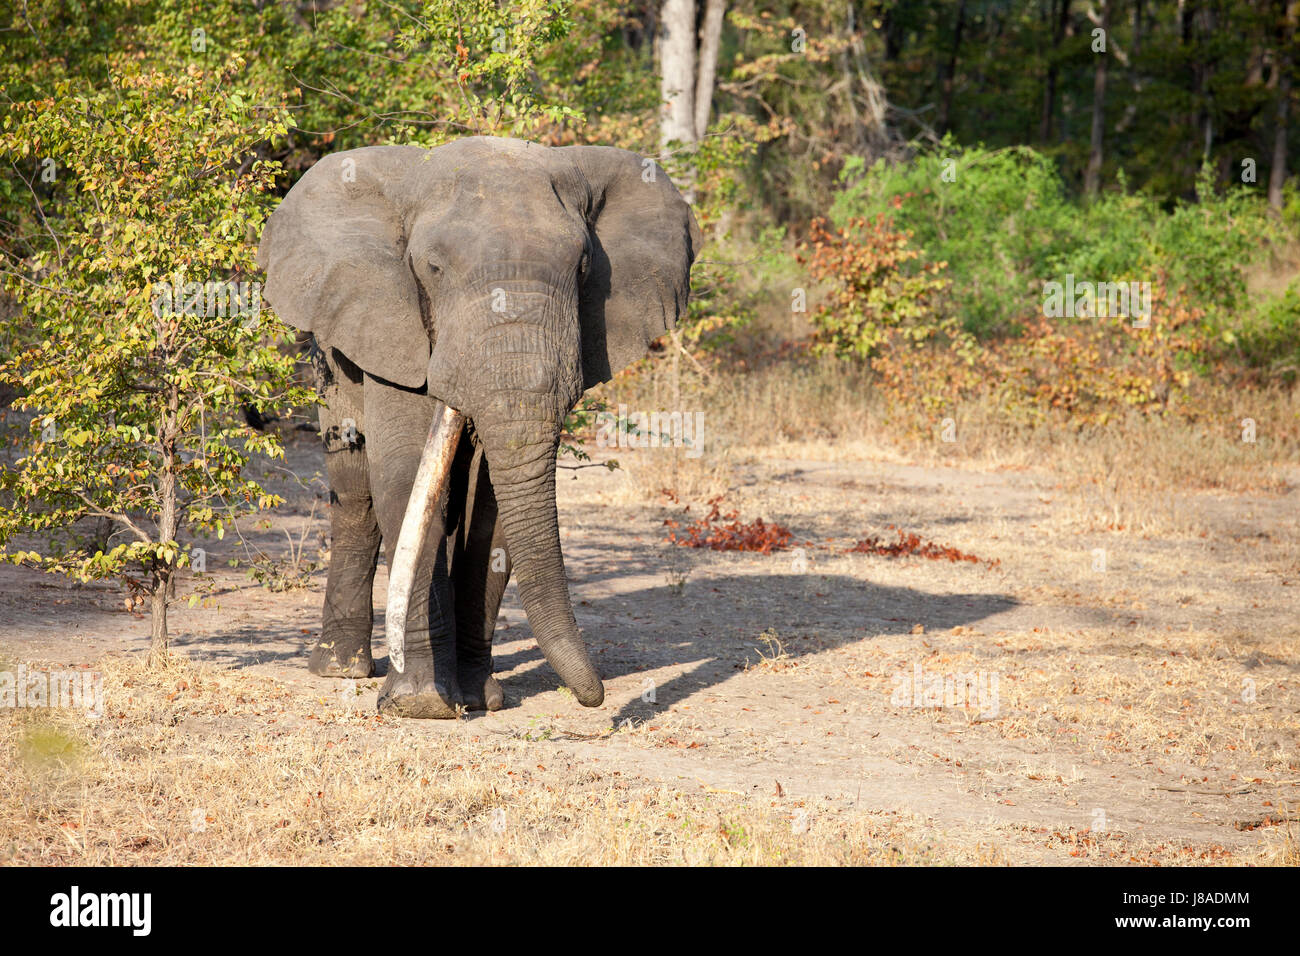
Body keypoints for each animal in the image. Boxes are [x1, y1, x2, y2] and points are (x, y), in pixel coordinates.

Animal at [257, 136, 701, 718]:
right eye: (432, 268)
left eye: (584, 268)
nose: (597, 697)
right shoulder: (394, 328)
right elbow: (405, 479)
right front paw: (422, 705)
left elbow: (490, 506)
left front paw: (480, 698)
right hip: (328, 354)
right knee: (354, 489)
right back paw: (341, 669)